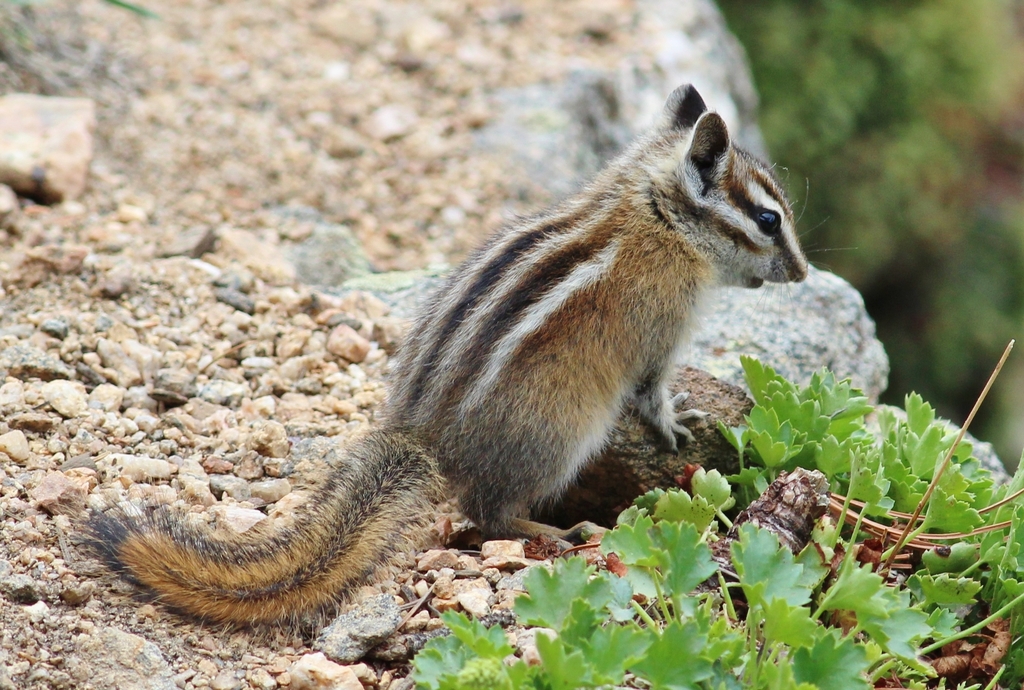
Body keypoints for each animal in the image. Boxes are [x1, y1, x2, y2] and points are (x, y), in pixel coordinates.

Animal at [84, 84, 809, 626]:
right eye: (768, 219)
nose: (803, 273)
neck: (654, 212)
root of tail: (426, 442)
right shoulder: (663, 329)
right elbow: (652, 390)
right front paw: (677, 420)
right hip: (563, 435)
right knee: (487, 514)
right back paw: (557, 532)